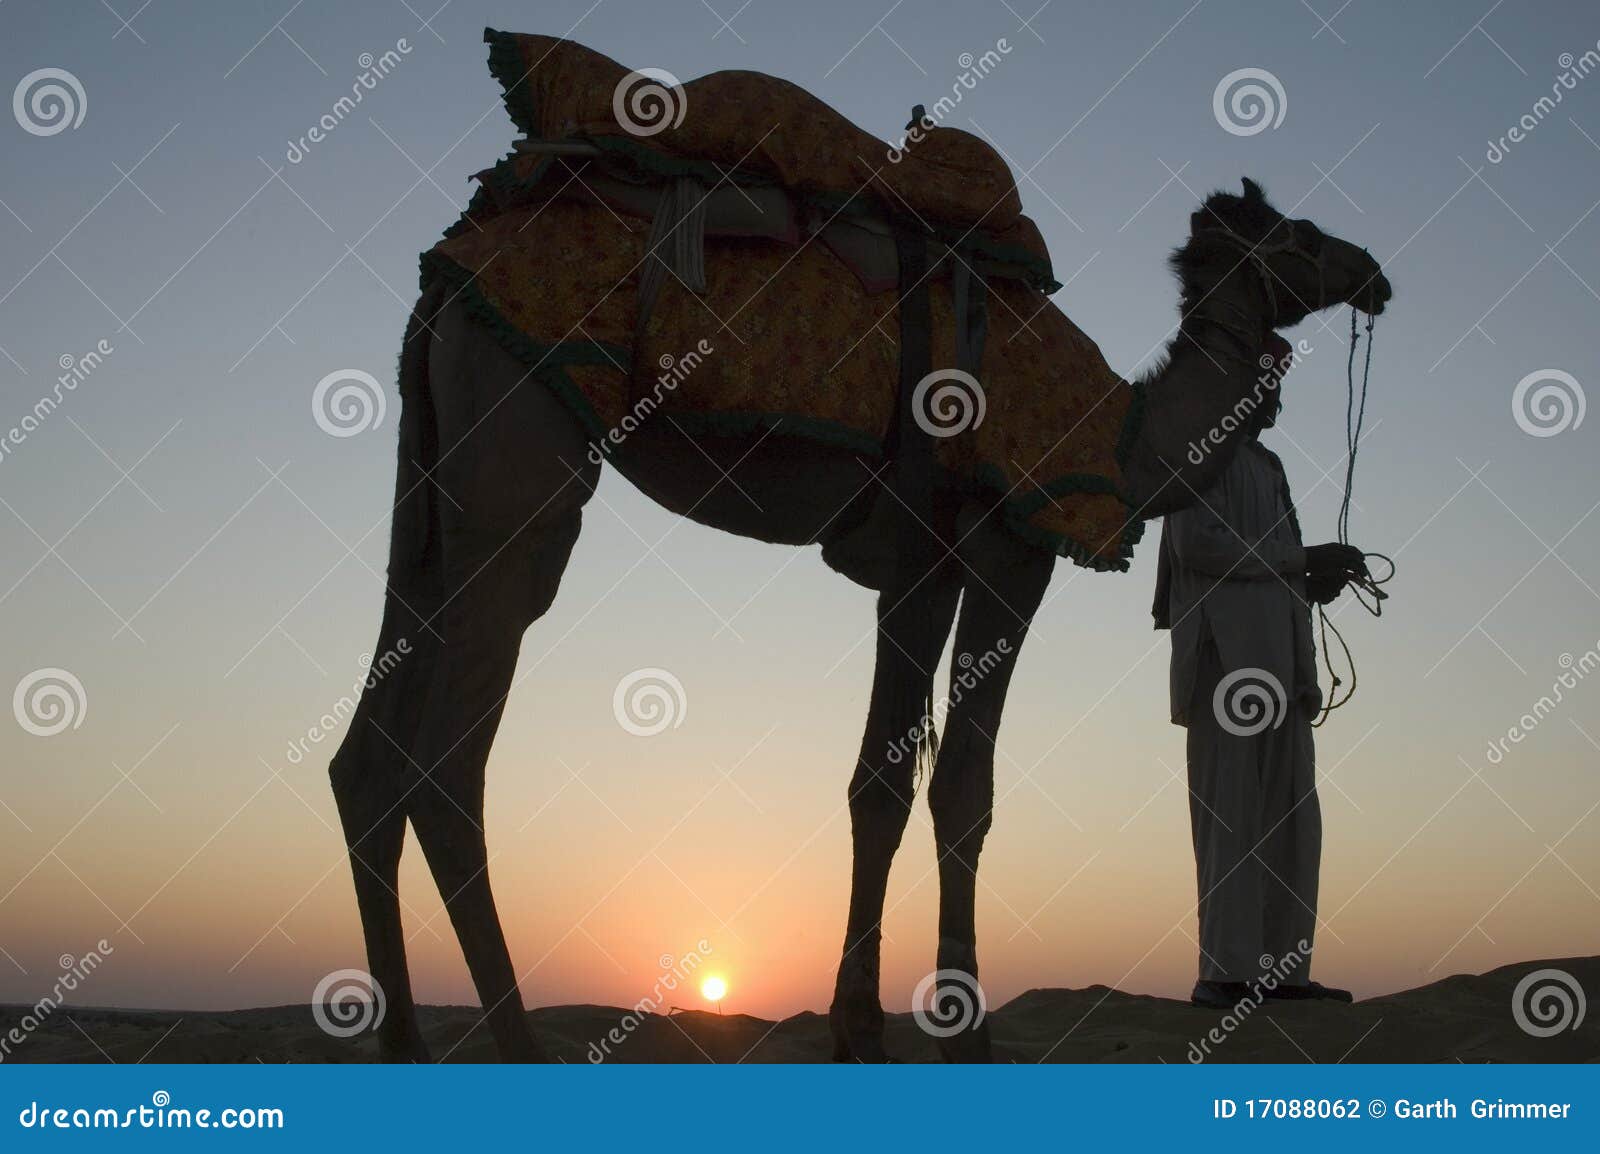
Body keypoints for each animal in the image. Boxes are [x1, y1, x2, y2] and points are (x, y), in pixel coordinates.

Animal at [327, 176, 1391, 1063]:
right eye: (1299, 231)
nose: (1373, 271)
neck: (1121, 439)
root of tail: (447, 277)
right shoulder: (1004, 552)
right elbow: (959, 790)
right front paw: (959, 1039)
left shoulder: (918, 569)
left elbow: (879, 785)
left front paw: (862, 1035)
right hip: (522, 471)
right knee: (446, 763)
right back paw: (513, 1052)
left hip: (429, 500)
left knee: (366, 758)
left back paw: (406, 1051)